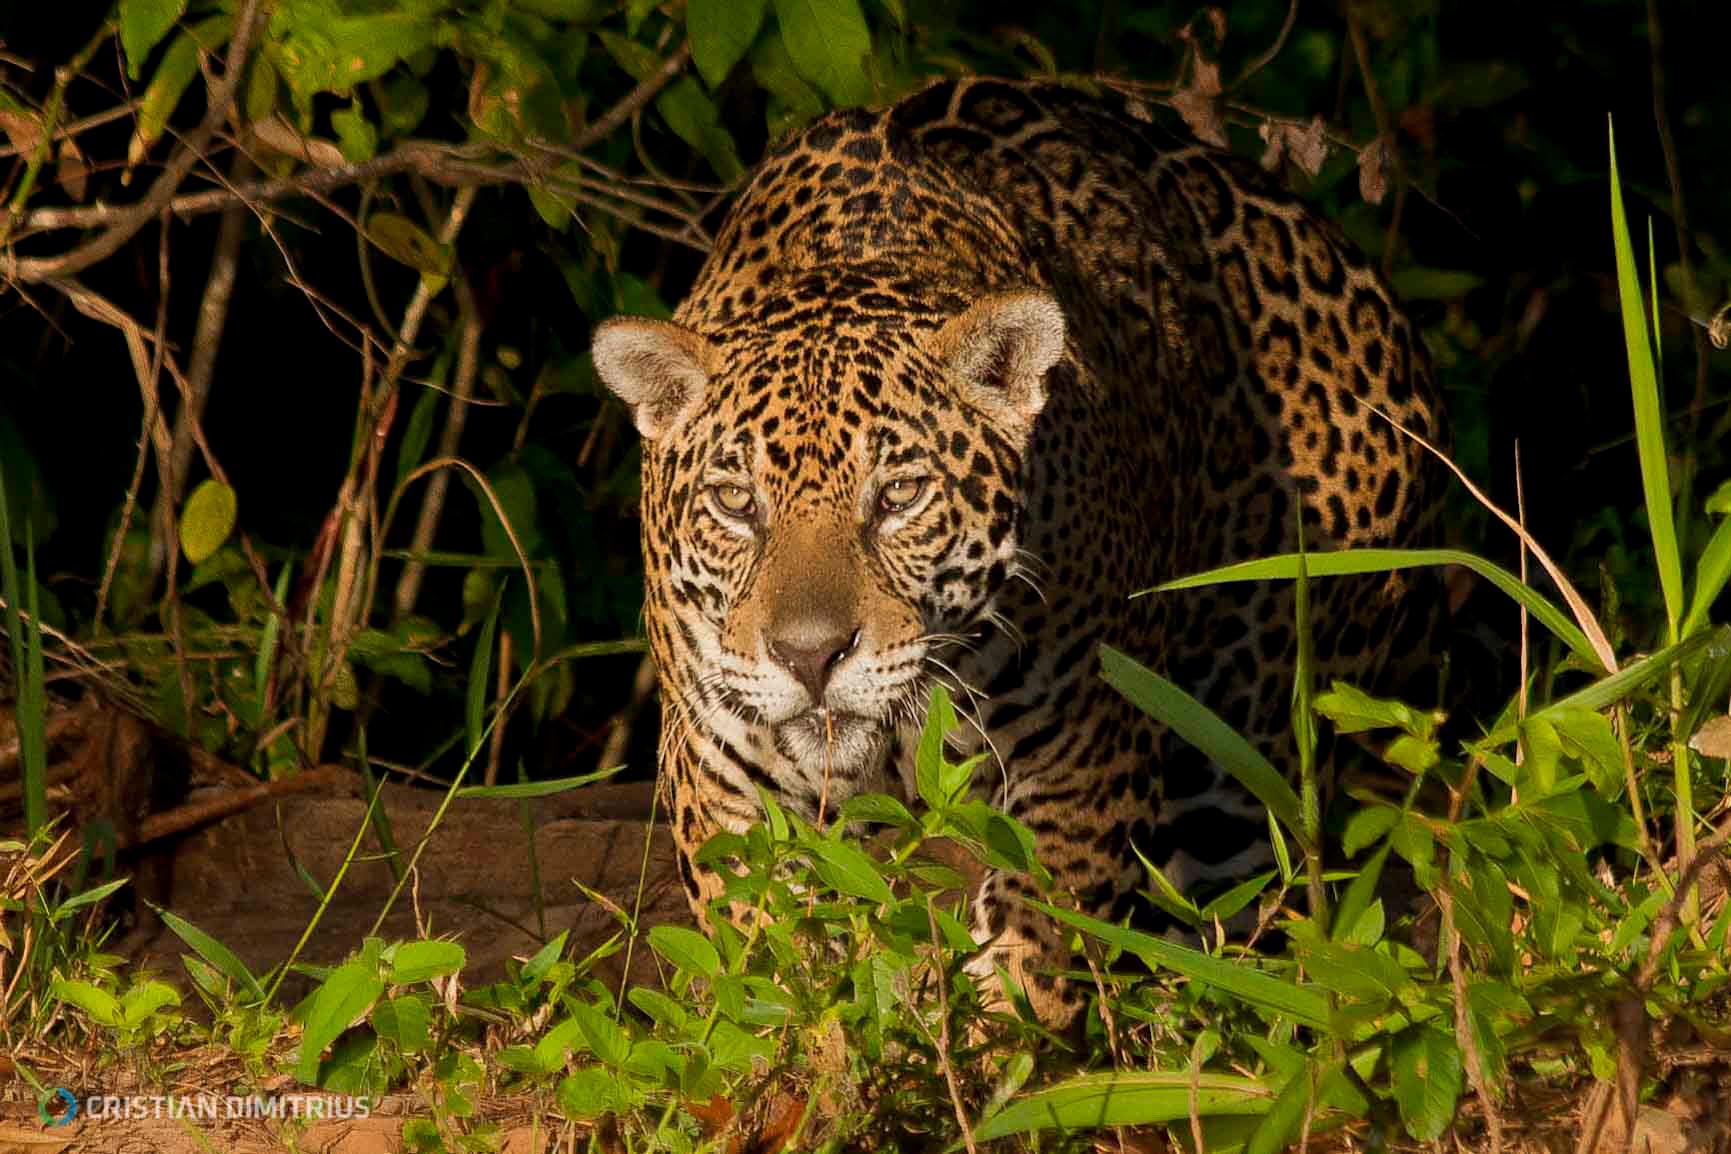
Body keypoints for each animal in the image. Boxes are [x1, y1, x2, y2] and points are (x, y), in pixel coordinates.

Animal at [591, 76, 1445, 1023]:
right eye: (736, 504)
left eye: (900, 496)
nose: (810, 658)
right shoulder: (723, 776)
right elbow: (777, 960)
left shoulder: (1083, 759)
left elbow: (1032, 951)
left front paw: (993, 1047)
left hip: (1246, 752)